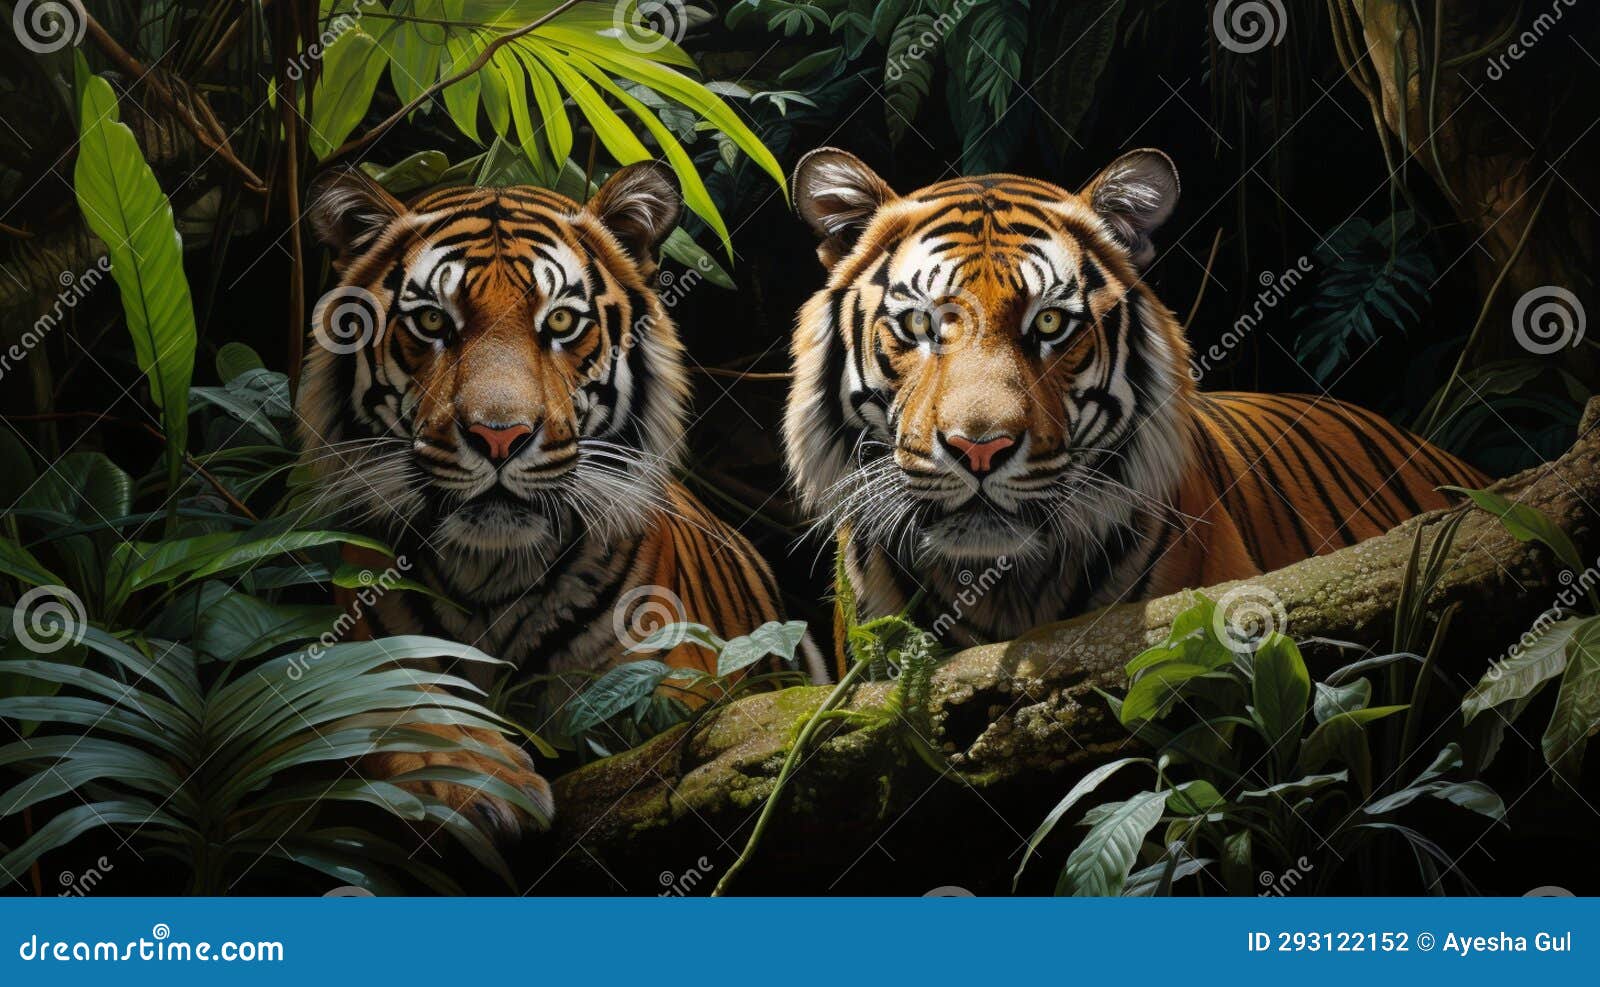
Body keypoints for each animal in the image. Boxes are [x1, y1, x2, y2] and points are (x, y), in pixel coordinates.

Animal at [298, 162, 823, 838]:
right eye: (433, 323)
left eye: (561, 323)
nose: (500, 436)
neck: (489, 571)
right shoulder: (358, 657)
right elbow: (390, 710)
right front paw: (483, 777)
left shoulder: (665, 679)